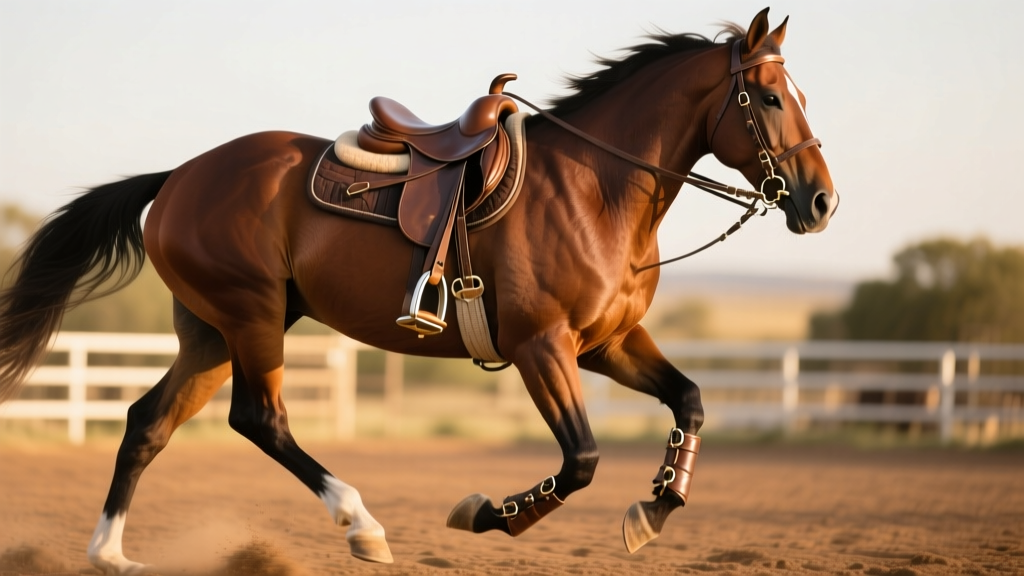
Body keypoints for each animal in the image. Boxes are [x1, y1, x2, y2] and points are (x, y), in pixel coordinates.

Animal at [0, 8, 835, 573]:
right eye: (767, 98)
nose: (822, 201)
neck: (592, 189)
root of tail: (177, 176)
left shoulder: (608, 344)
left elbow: (688, 400)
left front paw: (657, 505)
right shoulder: (542, 347)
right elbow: (582, 460)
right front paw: (495, 514)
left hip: (211, 333)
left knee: (148, 422)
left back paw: (109, 554)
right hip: (252, 318)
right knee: (260, 419)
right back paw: (362, 524)